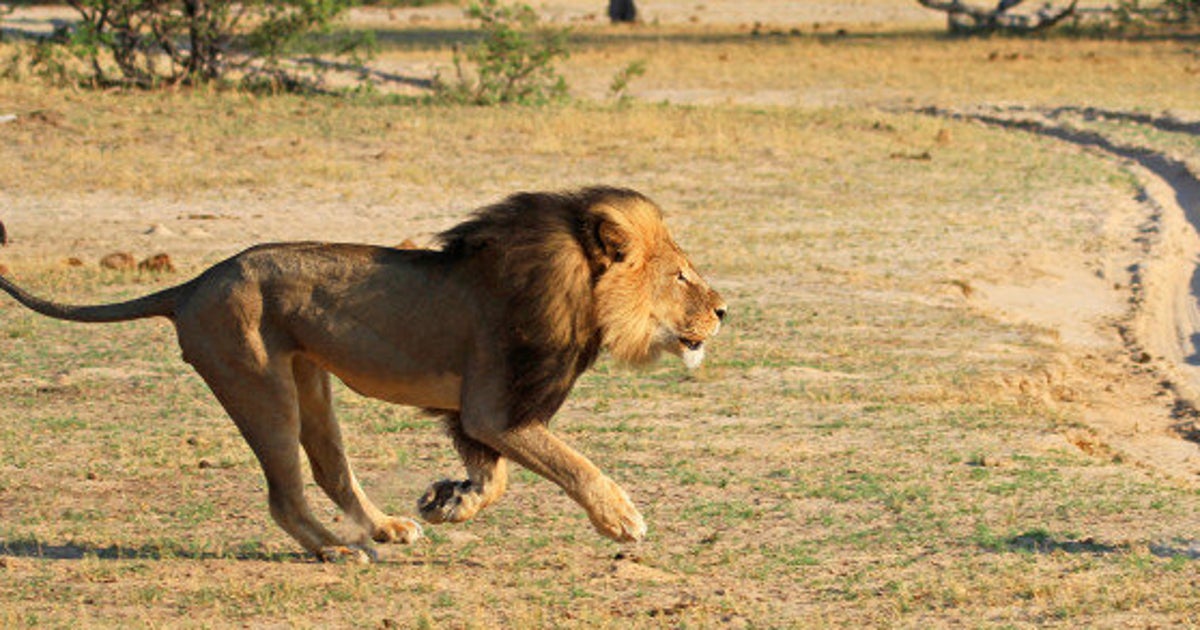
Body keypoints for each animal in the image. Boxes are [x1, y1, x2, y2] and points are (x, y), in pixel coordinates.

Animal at [0, 187, 727, 562]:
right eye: (680, 276)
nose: (723, 310)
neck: (578, 290)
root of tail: (193, 284)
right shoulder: (495, 409)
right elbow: (571, 462)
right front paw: (622, 519)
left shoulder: (476, 415)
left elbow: (497, 481)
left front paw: (446, 501)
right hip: (257, 383)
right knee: (286, 494)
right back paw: (338, 551)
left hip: (309, 383)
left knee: (331, 472)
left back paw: (386, 529)